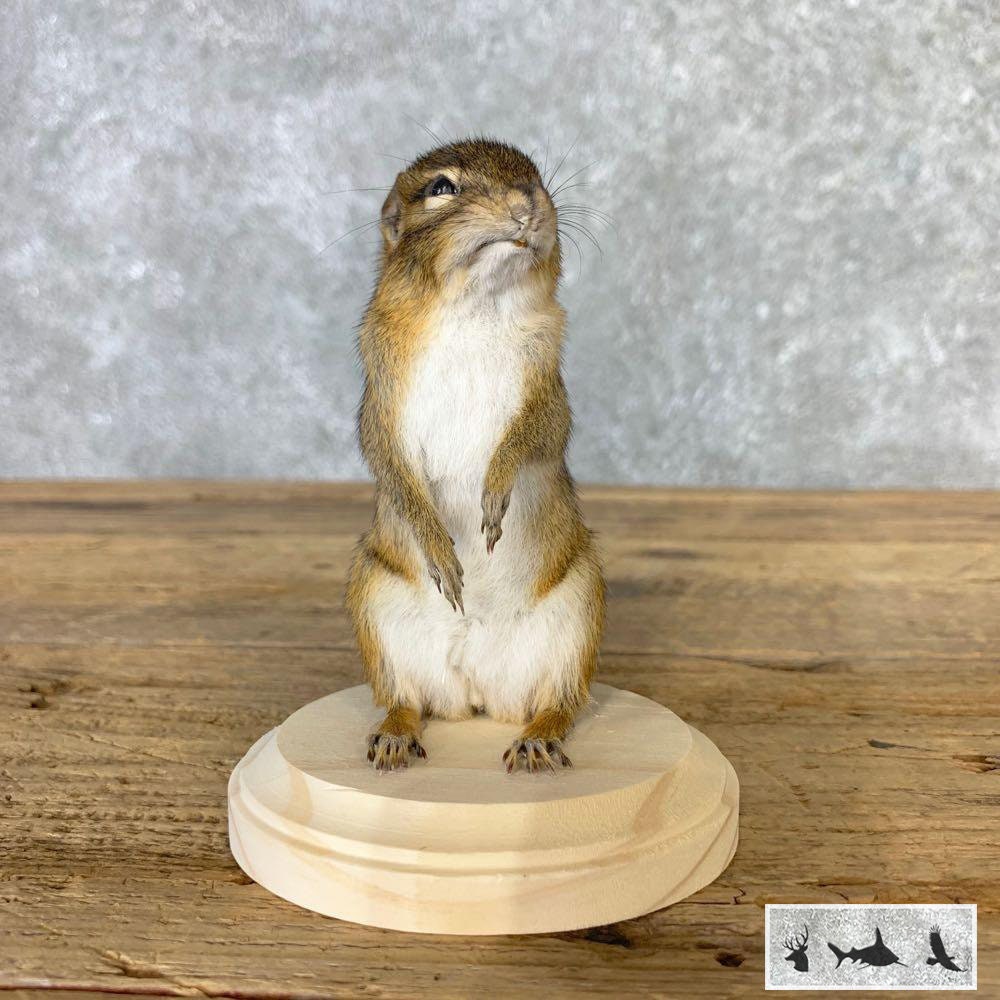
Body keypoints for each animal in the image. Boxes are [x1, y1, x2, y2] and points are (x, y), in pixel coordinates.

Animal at [347, 137, 606, 773]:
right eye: (441, 187)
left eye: (536, 176)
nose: (527, 203)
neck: (476, 308)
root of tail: (479, 691)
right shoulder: (381, 398)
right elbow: (387, 461)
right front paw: (441, 548)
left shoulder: (548, 392)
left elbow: (535, 436)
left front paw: (494, 494)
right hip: (373, 600)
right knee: (405, 699)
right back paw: (393, 735)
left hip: (580, 609)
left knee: (561, 701)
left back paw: (538, 739)